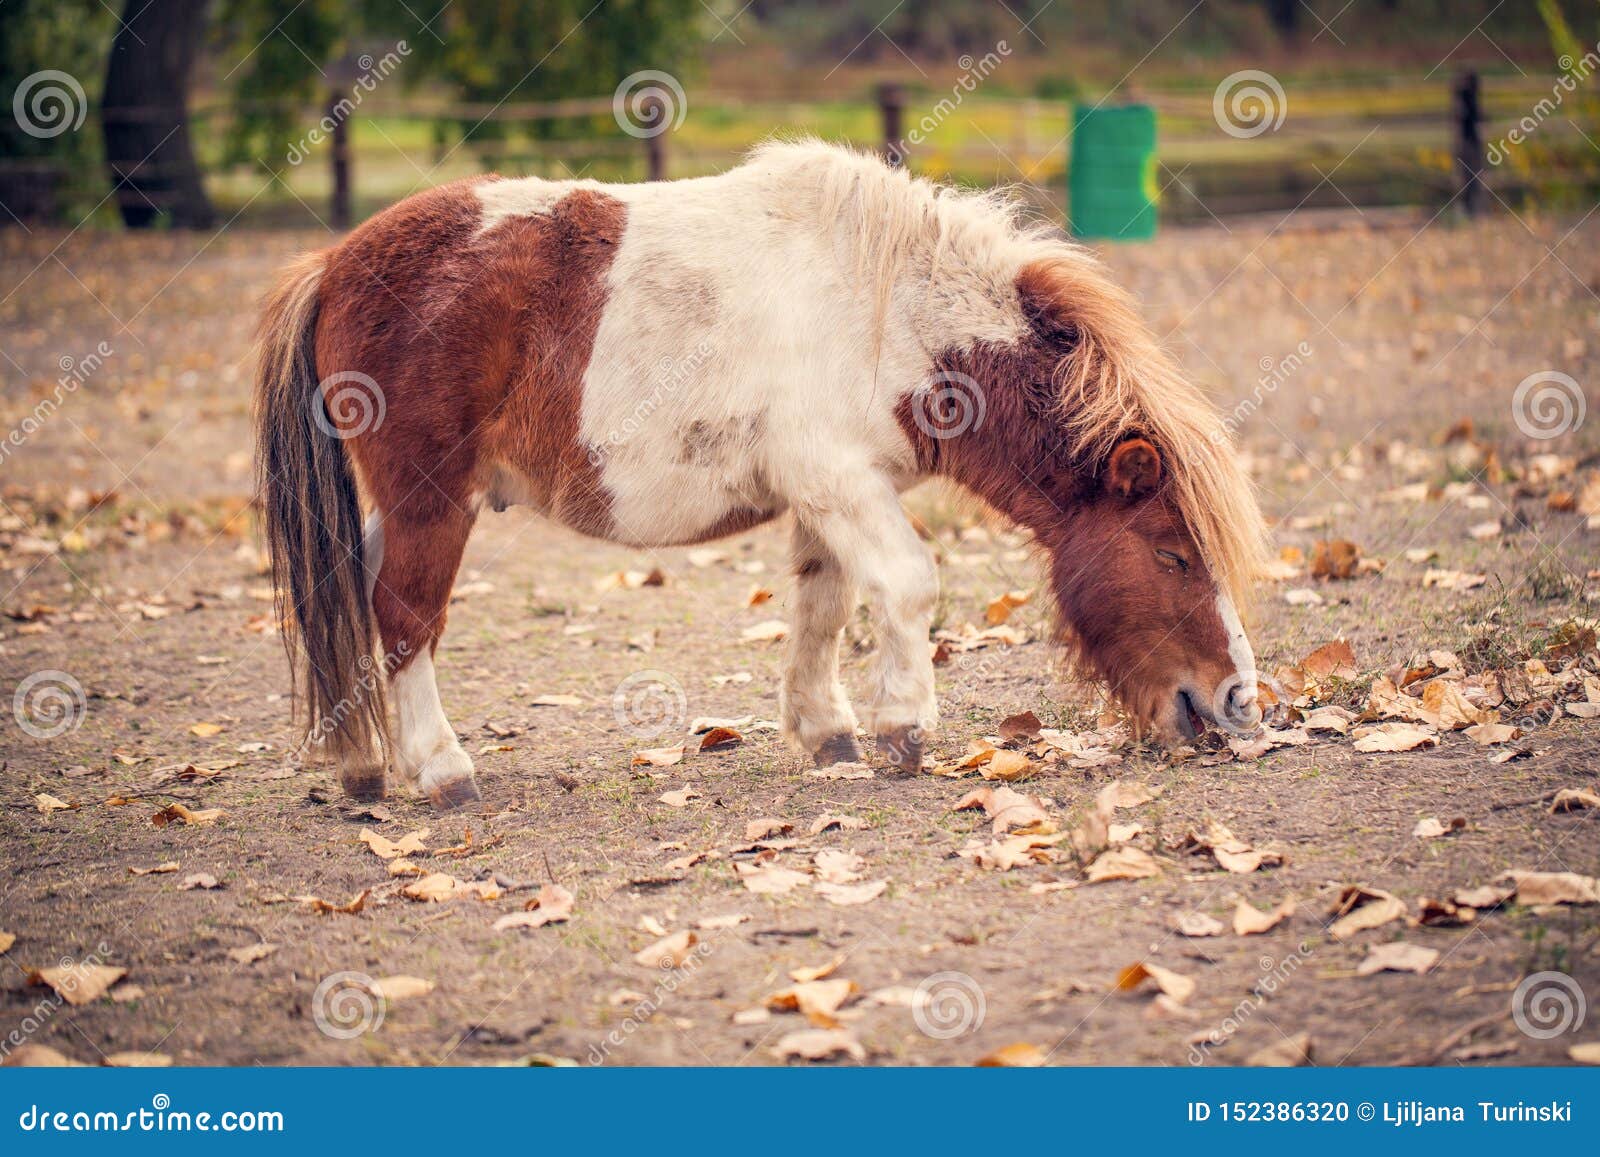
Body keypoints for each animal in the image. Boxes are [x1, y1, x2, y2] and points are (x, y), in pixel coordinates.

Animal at [254, 140, 1268, 810]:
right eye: (1174, 555)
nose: (1237, 703)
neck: (889, 312)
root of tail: (334, 263)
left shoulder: (827, 498)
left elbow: (824, 605)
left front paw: (829, 733)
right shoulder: (841, 483)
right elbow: (908, 585)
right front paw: (904, 726)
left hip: (403, 507)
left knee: (351, 595)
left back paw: (361, 764)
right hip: (433, 500)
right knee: (403, 617)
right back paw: (441, 769)